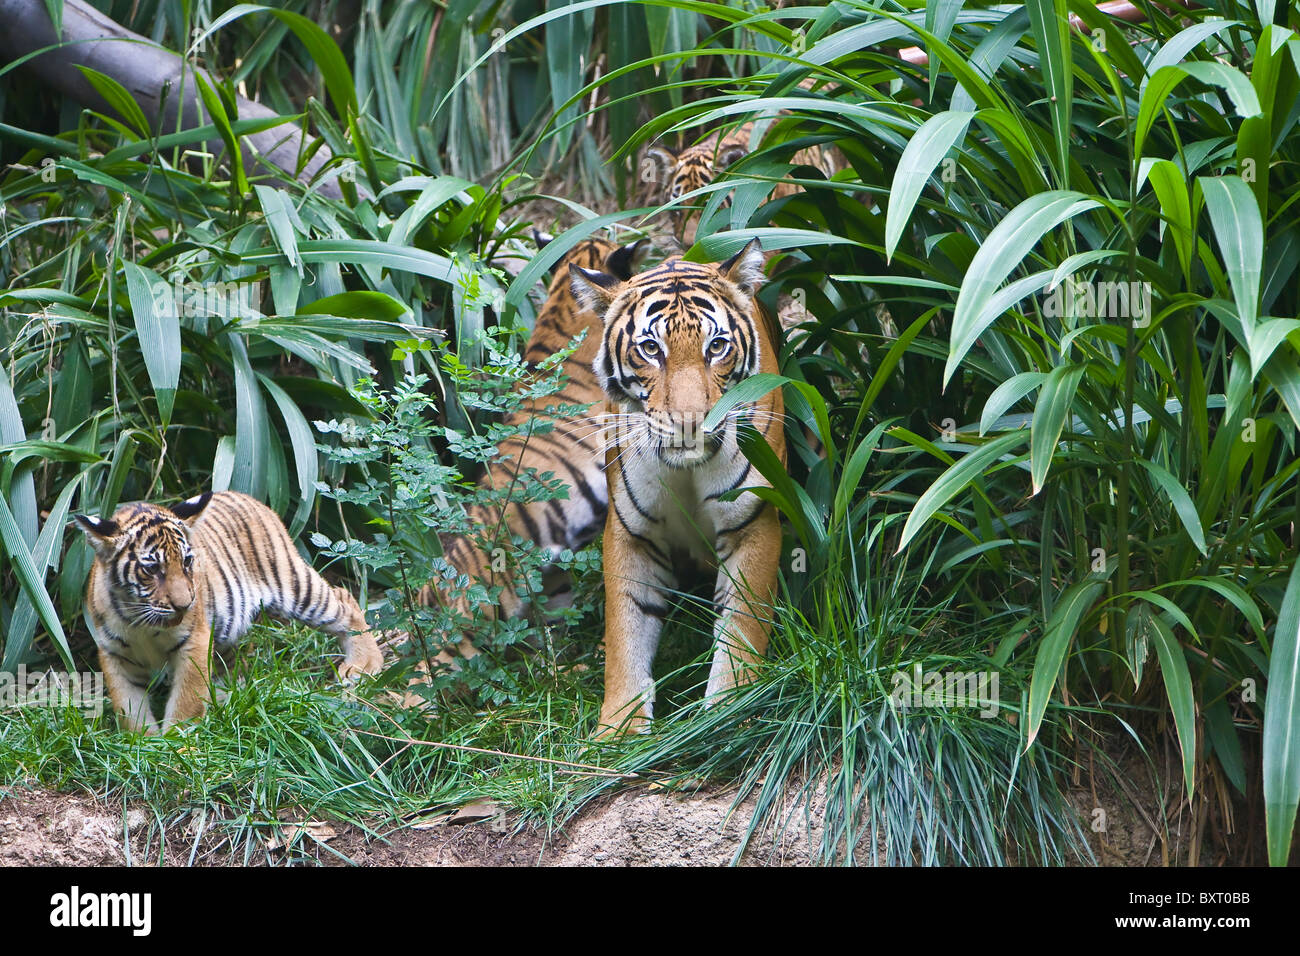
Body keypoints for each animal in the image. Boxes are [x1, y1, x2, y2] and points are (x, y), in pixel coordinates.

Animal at [75, 490, 384, 734]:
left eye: (187, 562)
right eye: (152, 569)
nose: (185, 604)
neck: (141, 621)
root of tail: (247, 496)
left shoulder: (194, 642)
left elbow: (186, 701)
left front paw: (176, 745)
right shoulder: (114, 654)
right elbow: (129, 708)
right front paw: (145, 744)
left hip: (295, 587)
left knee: (344, 599)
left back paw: (365, 664)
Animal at [568, 238, 786, 735]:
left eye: (717, 346)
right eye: (651, 349)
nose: (690, 422)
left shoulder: (753, 522)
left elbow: (742, 628)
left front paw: (730, 713)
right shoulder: (632, 533)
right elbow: (625, 630)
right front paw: (619, 730)